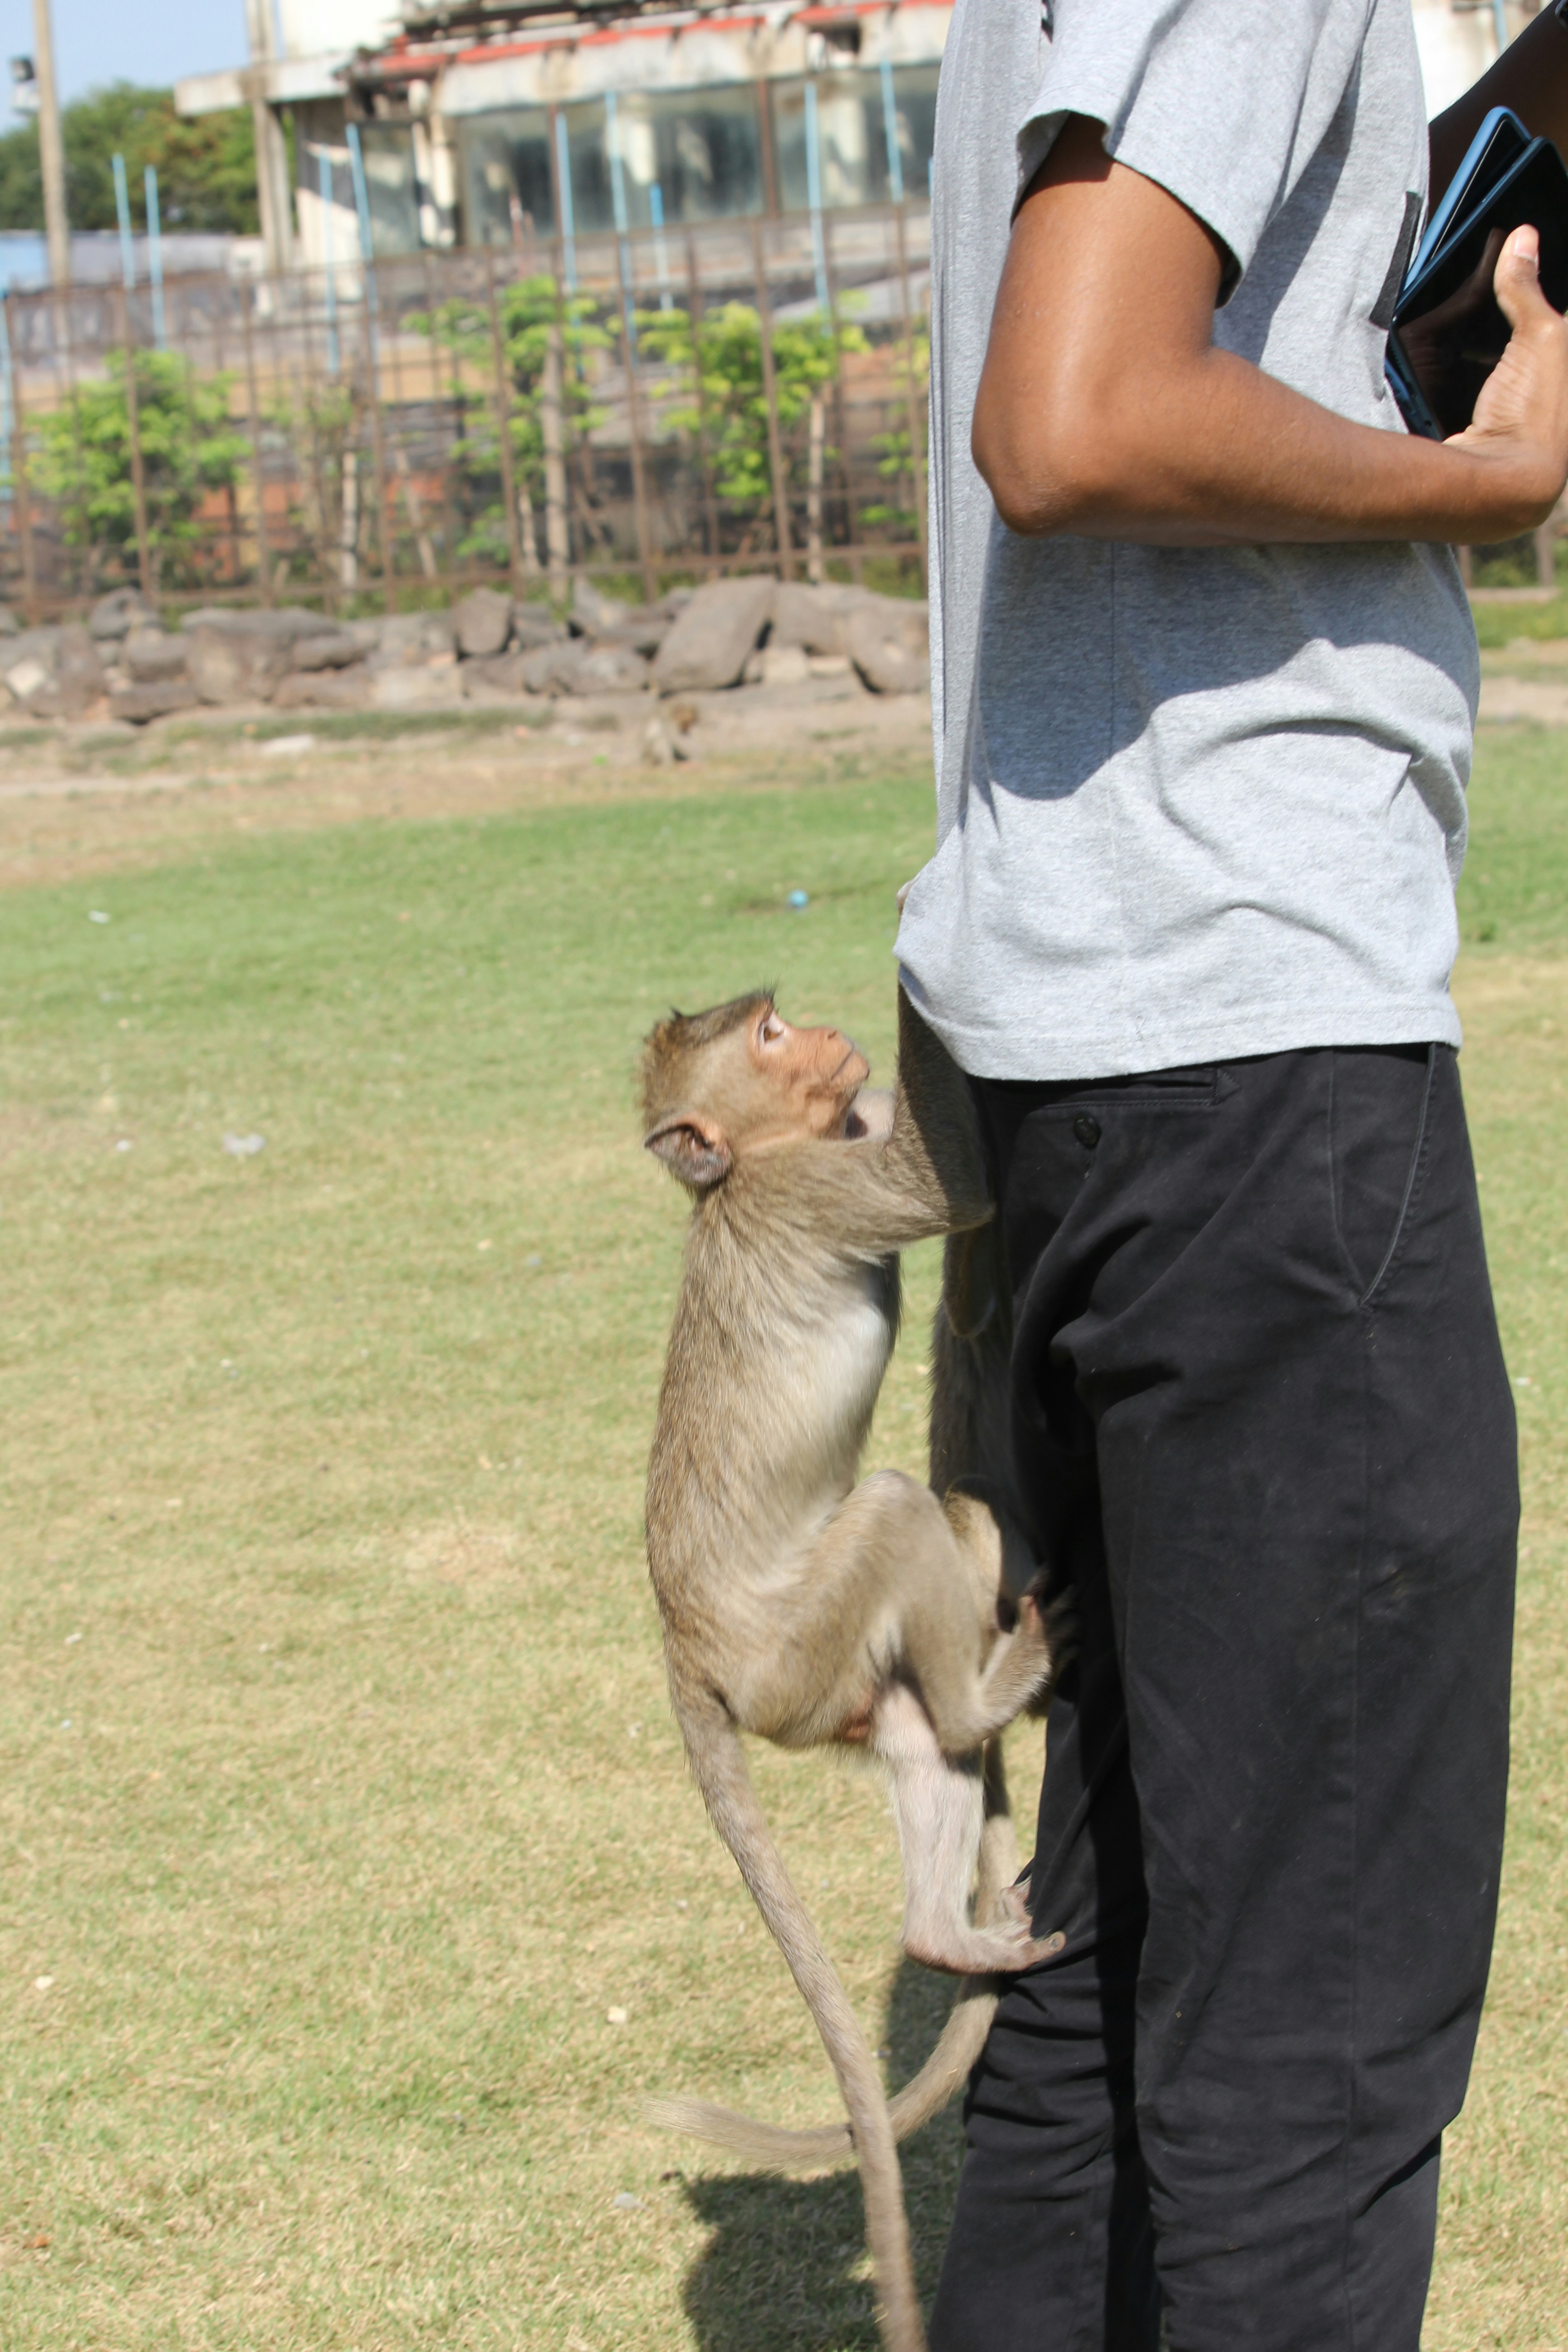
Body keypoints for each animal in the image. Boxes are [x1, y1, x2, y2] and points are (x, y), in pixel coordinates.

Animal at [639, 984, 1062, 2352]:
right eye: (767, 1037)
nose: (822, 1032)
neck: (752, 1170)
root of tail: (687, 1648)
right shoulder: (810, 1195)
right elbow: (943, 1187)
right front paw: (921, 980)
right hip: (800, 1648)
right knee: (892, 1509)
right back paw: (994, 1684)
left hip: (826, 1685)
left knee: (928, 1741)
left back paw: (945, 1932)